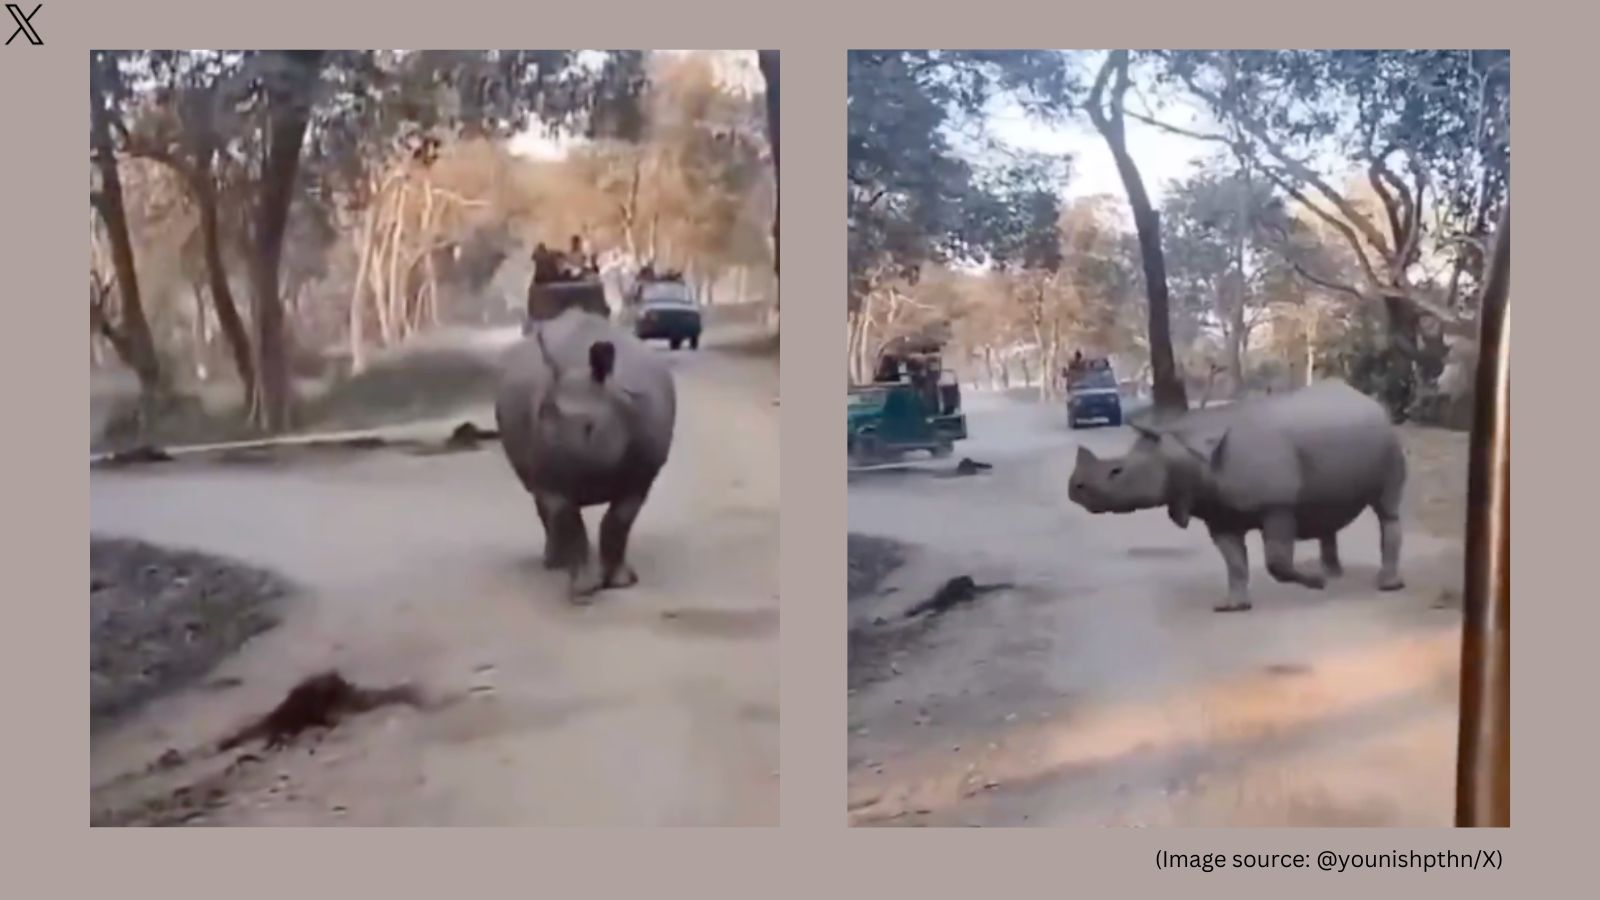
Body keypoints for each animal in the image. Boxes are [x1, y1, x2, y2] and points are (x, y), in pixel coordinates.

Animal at [495, 307, 676, 602]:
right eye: (540, 419)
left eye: (591, 428)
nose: (555, 464)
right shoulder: (547, 475)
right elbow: (567, 519)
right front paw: (584, 589)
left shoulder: (642, 472)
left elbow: (619, 520)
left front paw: (621, 582)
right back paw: (554, 564)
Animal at [1067, 380, 1406, 612]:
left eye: (1117, 472)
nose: (1074, 489)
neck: (1184, 450)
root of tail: (1369, 400)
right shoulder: (1217, 512)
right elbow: (1234, 561)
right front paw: (1233, 606)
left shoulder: (1277, 504)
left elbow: (1276, 562)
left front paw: (1314, 583)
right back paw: (1334, 575)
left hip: (1390, 440)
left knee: (1386, 509)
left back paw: (1385, 585)